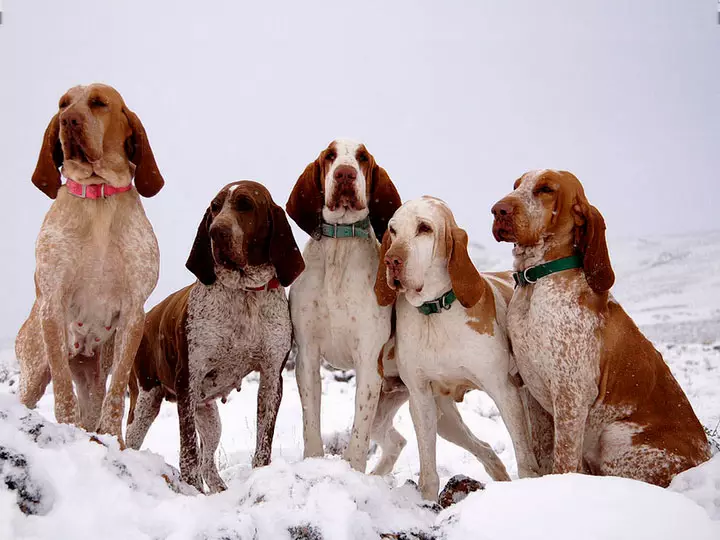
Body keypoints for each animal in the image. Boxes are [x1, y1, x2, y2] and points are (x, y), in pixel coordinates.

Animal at [16, 82, 165, 440]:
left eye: (98, 103)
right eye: (63, 104)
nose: (68, 120)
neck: (99, 198)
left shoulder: (133, 313)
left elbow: (117, 395)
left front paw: (113, 439)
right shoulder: (53, 304)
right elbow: (62, 391)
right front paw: (66, 428)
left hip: (93, 372)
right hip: (33, 370)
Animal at [126, 179, 304, 492]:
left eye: (245, 204)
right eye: (214, 208)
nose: (216, 231)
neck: (243, 293)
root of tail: (145, 318)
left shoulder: (272, 376)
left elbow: (263, 443)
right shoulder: (189, 376)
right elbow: (188, 453)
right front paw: (190, 491)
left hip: (208, 415)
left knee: (208, 462)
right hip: (146, 401)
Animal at [374, 196, 536, 500]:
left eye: (424, 228)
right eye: (392, 230)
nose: (392, 260)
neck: (436, 313)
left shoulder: (504, 392)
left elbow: (526, 460)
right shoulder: (420, 398)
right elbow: (428, 472)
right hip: (446, 421)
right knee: (486, 451)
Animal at [492, 171, 712, 488]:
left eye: (546, 189)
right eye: (516, 185)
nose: (498, 210)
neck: (536, 285)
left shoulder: (570, 395)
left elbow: (563, 462)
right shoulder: (534, 395)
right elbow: (544, 454)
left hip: (614, 436)